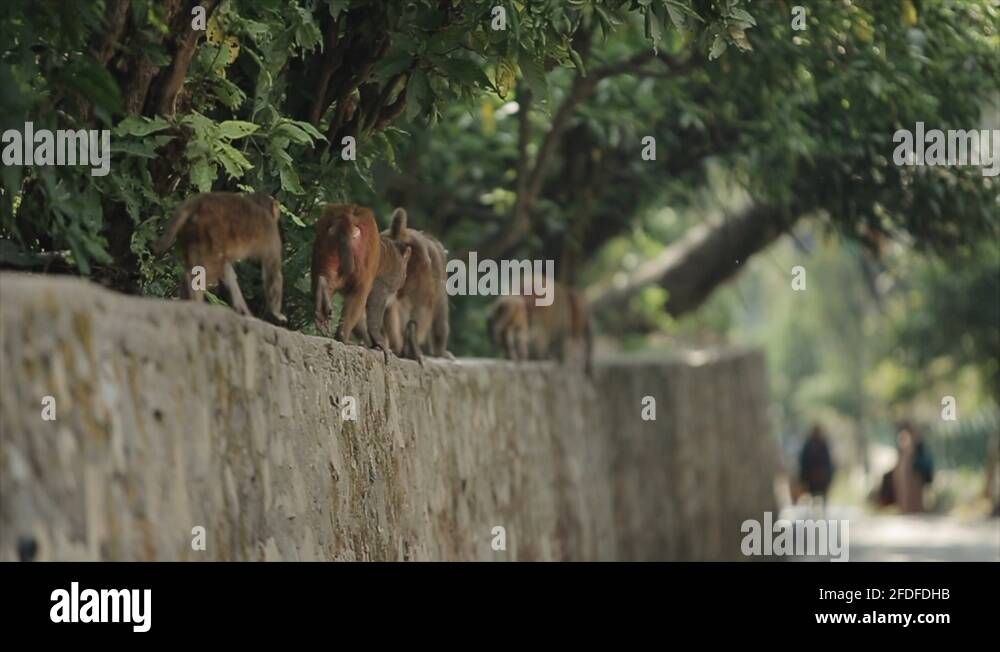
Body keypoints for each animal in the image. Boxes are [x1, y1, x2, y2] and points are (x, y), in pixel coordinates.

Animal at [152, 191, 286, 323]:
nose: (277, 213)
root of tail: (197, 202)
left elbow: (228, 270)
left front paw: (242, 309)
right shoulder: (271, 232)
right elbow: (272, 273)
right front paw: (277, 314)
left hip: (192, 233)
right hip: (209, 230)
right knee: (208, 271)